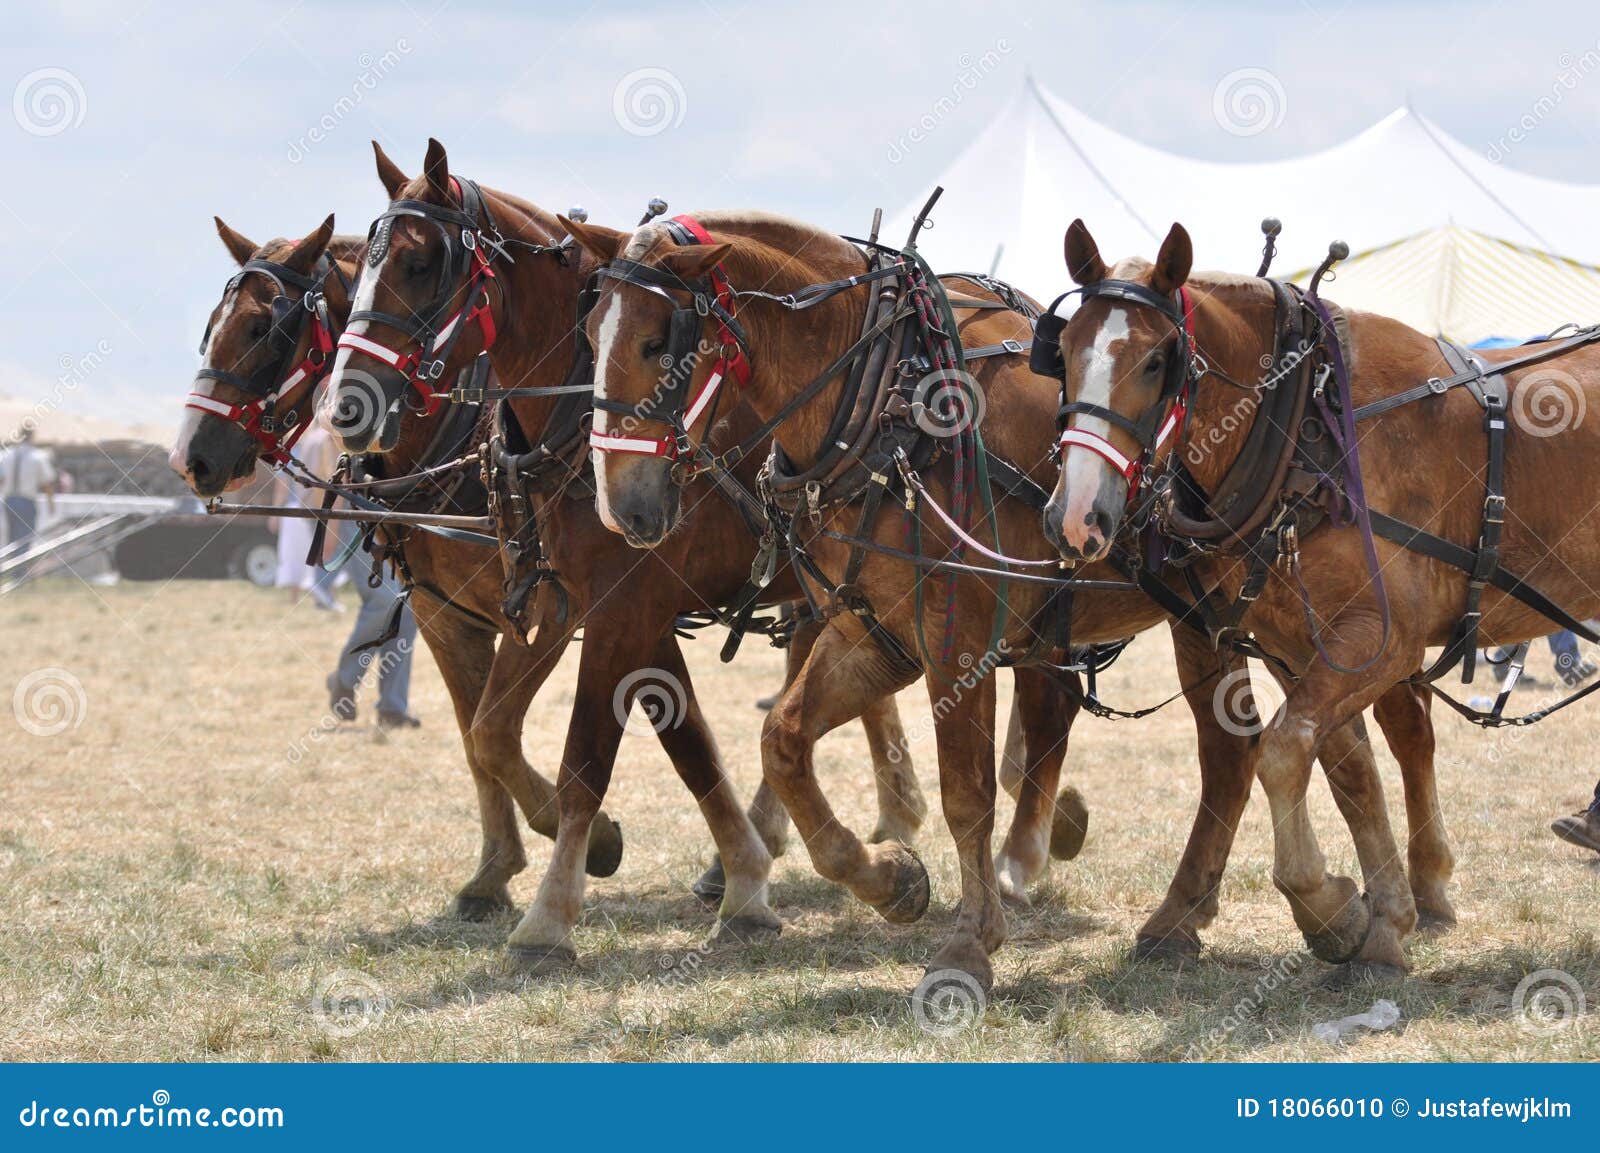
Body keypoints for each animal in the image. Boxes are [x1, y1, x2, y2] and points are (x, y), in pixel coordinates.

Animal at [321, 140, 928, 966]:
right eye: (362, 268)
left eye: (419, 263)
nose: (346, 407)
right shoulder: (566, 604)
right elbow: (525, 732)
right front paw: (739, 877)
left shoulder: (616, 608)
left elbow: (589, 757)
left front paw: (553, 910)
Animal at [568, 207, 1460, 993]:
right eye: (590, 335)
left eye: (657, 342)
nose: (621, 506)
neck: (888, 400)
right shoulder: (877, 632)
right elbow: (783, 741)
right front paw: (890, 879)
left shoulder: (959, 638)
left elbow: (967, 794)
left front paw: (968, 940)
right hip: (1243, 622)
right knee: (1298, 751)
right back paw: (1262, 914)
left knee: (1335, 738)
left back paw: (1388, 897)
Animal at [1038, 218, 1599, 978]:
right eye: (1065, 350)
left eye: (1157, 361)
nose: (1076, 517)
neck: (1307, 420)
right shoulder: (1299, 644)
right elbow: (1347, 770)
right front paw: (1377, 918)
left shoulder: (1384, 639)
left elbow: (1283, 749)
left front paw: (1326, 906)